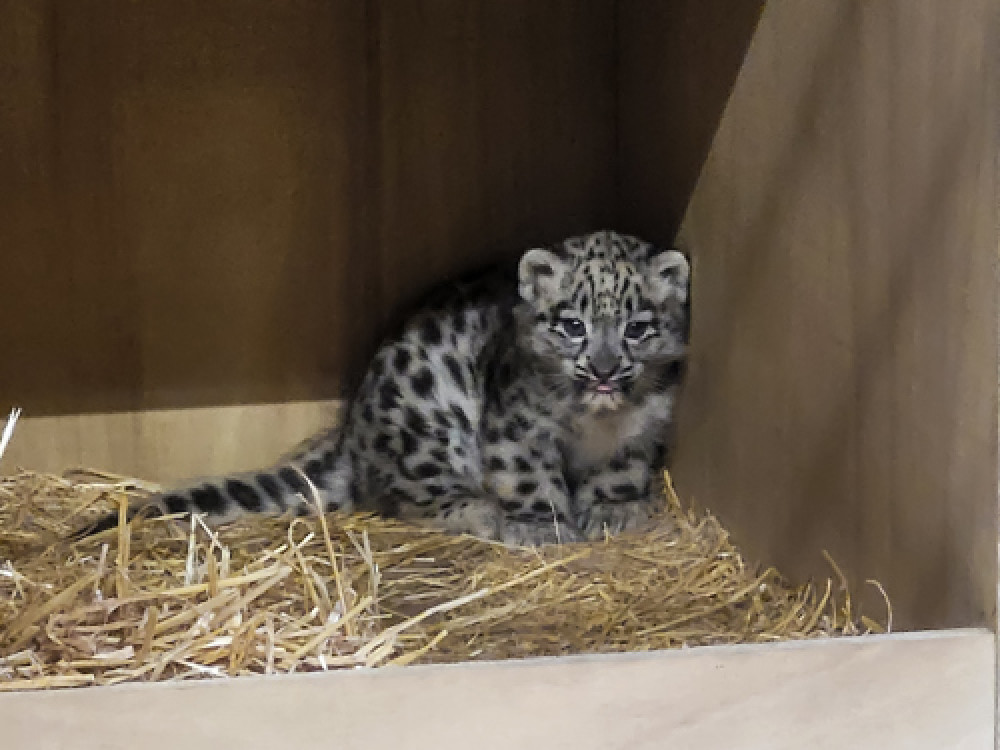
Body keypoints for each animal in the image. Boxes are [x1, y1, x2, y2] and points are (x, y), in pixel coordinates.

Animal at [74, 229, 691, 547]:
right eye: (573, 324)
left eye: (637, 327)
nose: (604, 371)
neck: (595, 423)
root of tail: (353, 436)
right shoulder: (519, 428)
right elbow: (530, 479)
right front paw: (543, 527)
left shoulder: (643, 428)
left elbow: (620, 474)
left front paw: (613, 511)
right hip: (430, 429)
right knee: (407, 497)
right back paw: (479, 511)